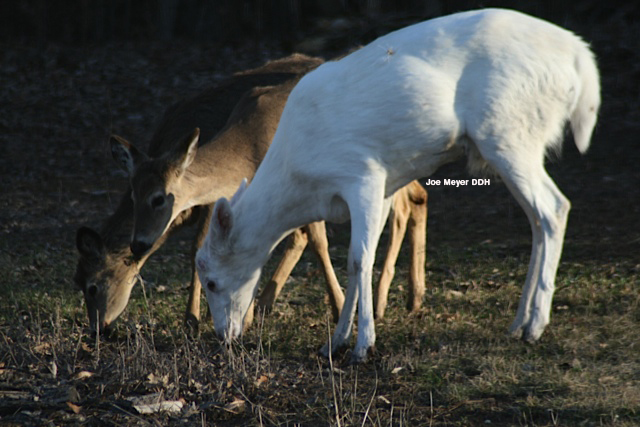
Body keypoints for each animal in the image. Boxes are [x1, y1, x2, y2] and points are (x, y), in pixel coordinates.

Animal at [75, 53, 428, 336]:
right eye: (134, 195)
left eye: (93, 287)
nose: (98, 329)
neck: (248, 145)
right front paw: (229, 317)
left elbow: (316, 240)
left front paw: (340, 307)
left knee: (405, 201)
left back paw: (393, 300)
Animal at [195, 8, 600, 363]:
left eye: (211, 281)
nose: (223, 336)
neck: (302, 185)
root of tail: (581, 58)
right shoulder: (386, 185)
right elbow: (357, 262)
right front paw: (335, 342)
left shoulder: (363, 174)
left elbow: (360, 258)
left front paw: (362, 347)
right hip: (518, 140)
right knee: (537, 218)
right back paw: (517, 323)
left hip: (508, 132)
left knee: (554, 208)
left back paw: (536, 325)